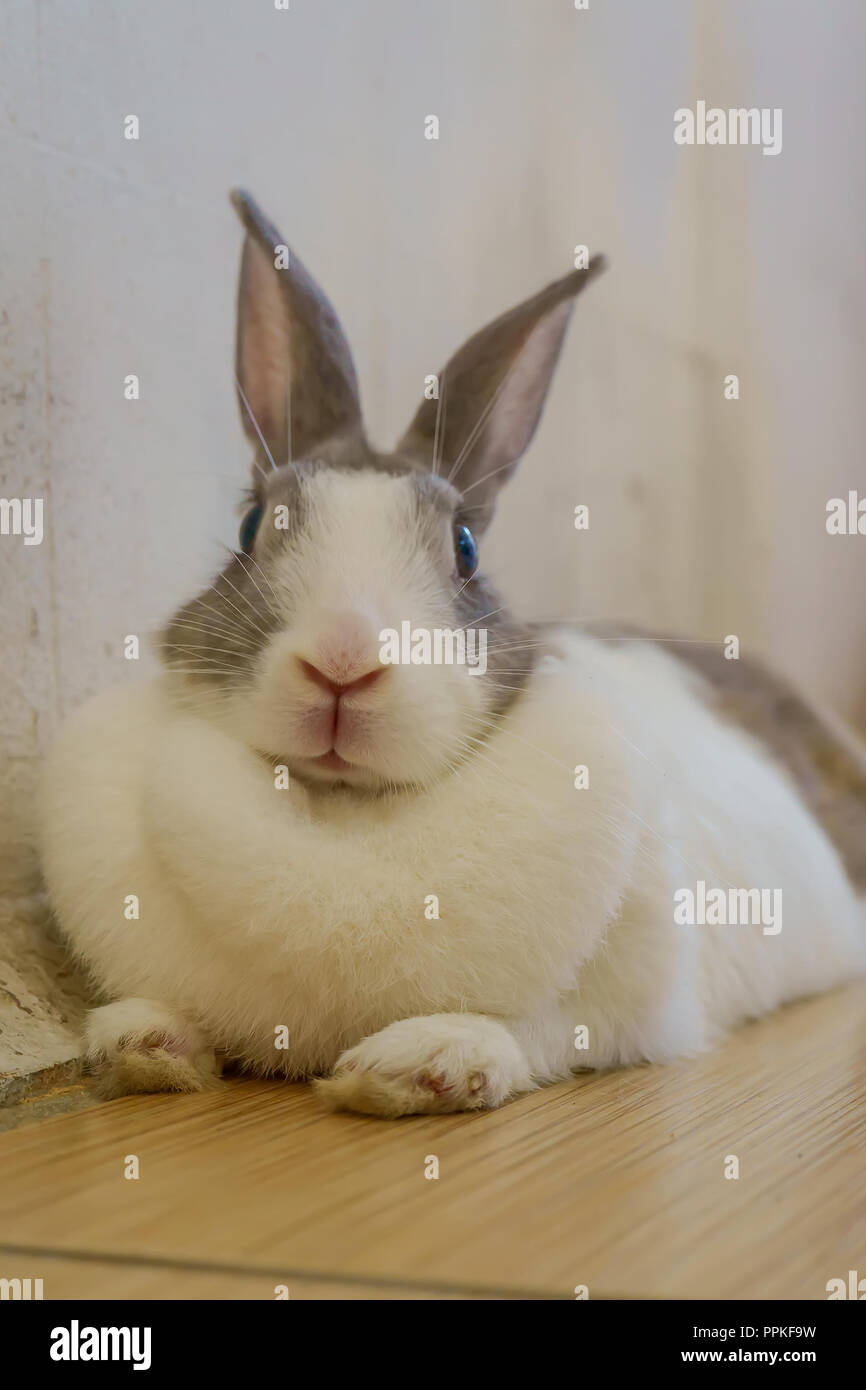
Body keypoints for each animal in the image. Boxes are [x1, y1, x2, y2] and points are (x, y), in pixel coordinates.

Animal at [38, 189, 866, 1117]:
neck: (344, 815)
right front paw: (140, 1040)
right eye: (251, 527)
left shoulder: (641, 1003)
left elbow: (545, 1030)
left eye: (466, 548)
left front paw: (416, 1062)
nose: (343, 660)